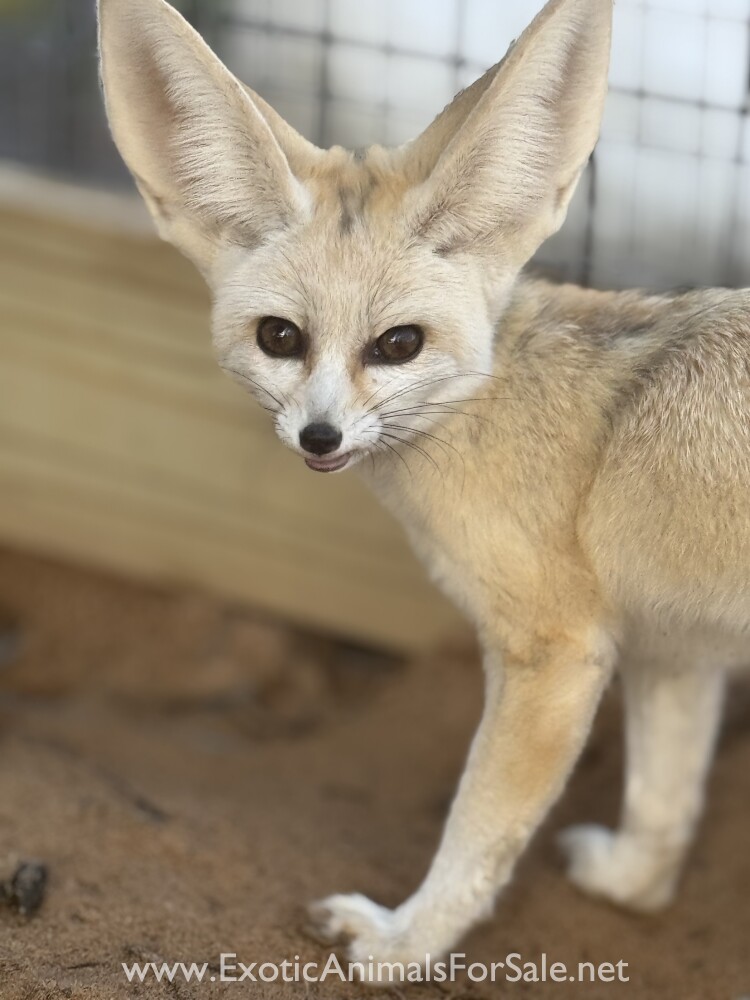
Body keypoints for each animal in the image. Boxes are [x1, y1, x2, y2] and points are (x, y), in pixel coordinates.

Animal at [97, 0, 750, 972]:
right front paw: (632, 887)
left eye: (398, 345)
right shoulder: (676, 647)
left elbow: (478, 830)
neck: (497, 399)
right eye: (280, 338)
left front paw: (405, 943)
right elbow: (664, 799)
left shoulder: (555, 655)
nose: (320, 436)